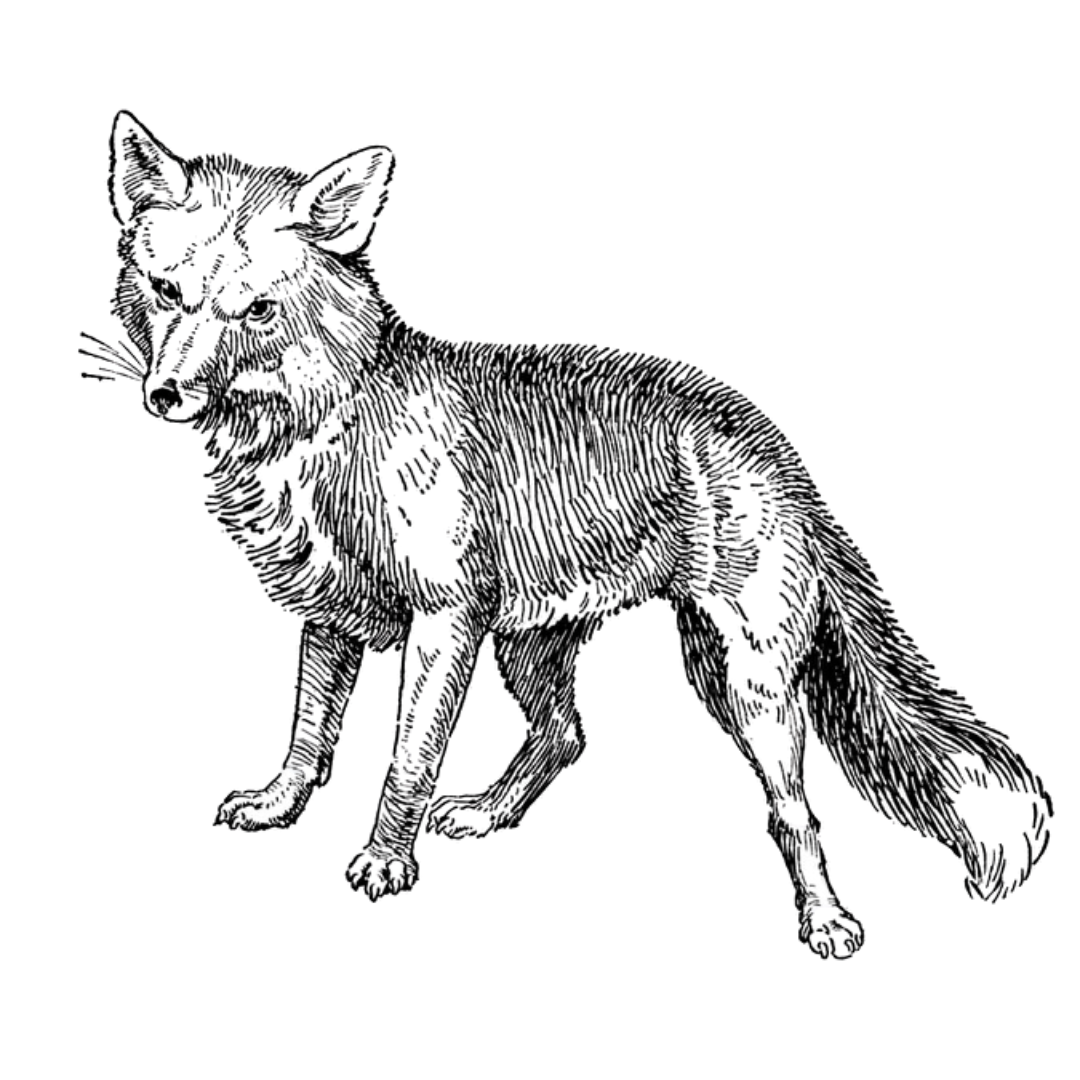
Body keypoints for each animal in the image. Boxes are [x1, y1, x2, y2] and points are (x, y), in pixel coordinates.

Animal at [80, 111, 1050, 955]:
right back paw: (481, 812)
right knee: (561, 734)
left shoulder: (439, 628)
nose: (167, 392)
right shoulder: (330, 615)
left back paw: (823, 922)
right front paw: (279, 806)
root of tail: (772, 449)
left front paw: (387, 860)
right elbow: (311, 729)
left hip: (732, 669)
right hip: (533, 633)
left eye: (254, 309)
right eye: (165, 290)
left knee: (793, 796)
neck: (317, 430)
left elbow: (405, 760)